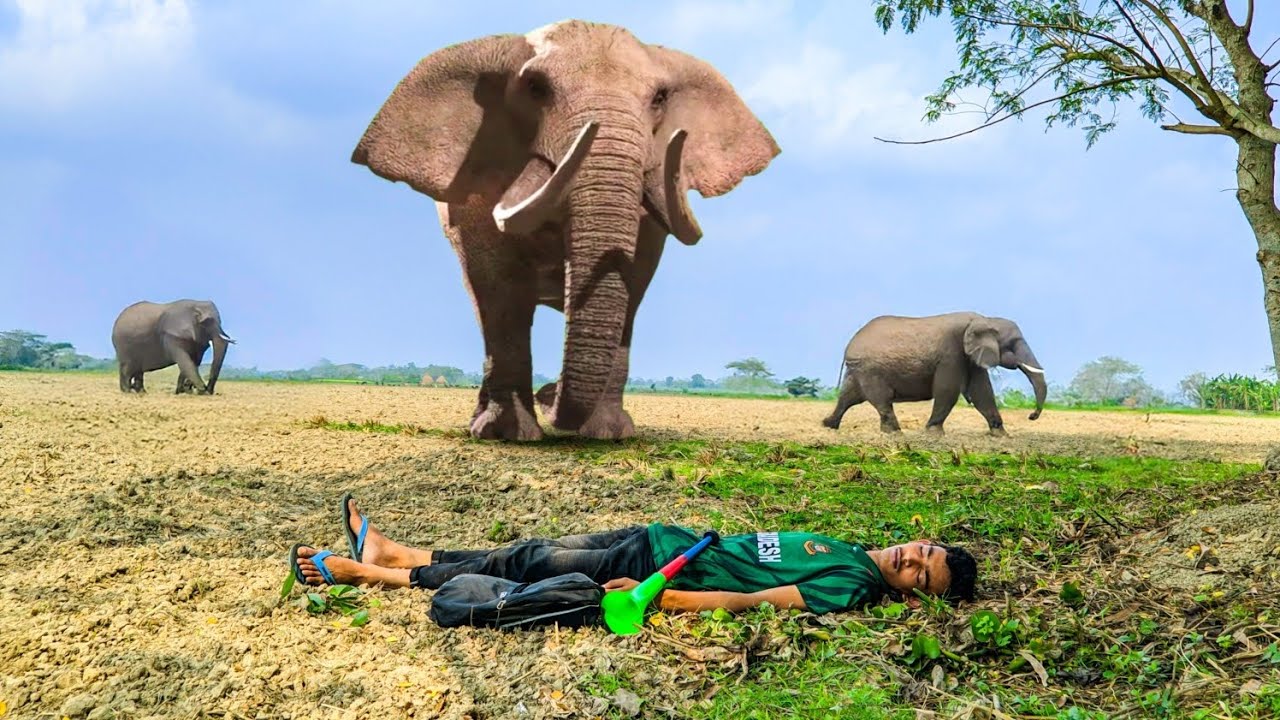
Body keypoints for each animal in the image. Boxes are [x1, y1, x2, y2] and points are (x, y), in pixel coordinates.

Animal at [351, 19, 779, 441]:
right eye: (535, 89)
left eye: (660, 98)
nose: (549, 394)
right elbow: (498, 288)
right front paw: (509, 436)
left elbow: (634, 283)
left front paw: (608, 435)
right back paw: (482, 425)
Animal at [822, 312, 1046, 436]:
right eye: (1013, 344)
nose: (1031, 416)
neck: (983, 319)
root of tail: (850, 344)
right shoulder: (951, 354)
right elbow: (948, 390)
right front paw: (933, 433)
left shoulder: (969, 357)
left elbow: (981, 392)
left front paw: (1001, 435)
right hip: (870, 371)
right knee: (880, 400)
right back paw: (896, 434)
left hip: (859, 371)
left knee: (848, 397)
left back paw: (828, 426)